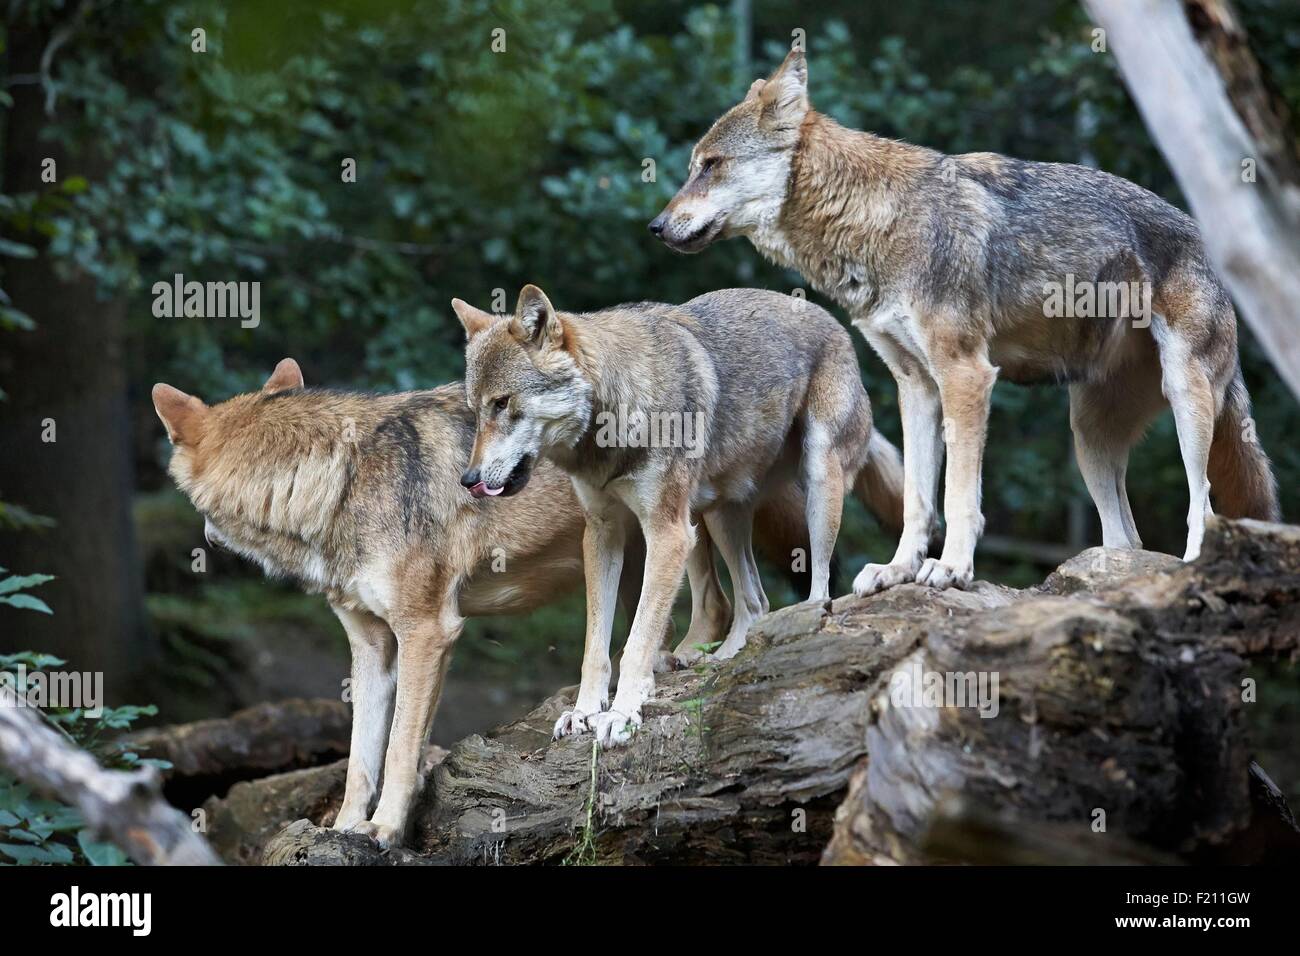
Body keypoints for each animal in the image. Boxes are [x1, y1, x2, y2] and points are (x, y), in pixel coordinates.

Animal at [455, 285, 903, 746]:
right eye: (476, 410)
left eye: (502, 403)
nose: (468, 480)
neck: (611, 426)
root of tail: (830, 319)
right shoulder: (602, 534)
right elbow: (595, 646)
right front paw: (583, 712)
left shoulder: (666, 533)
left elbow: (638, 639)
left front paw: (620, 714)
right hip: (713, 517)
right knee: (752, 600)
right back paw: (723, 658)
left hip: (812, 481)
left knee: (818, 586)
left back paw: (800, 625)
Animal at [649, 49, 1280, 594]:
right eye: (693, 168)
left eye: (710, 167)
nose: (655, 227)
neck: (875, 219)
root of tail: (1204, 239)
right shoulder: (915, 385)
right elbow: (917, 499)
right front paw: (898, 570)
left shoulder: (966, 374)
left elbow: (957, 496)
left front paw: (951, 569)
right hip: (1088, 436)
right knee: (1127, 537)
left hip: (1186, 398)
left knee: (1202, 502)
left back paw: (1194, 566)